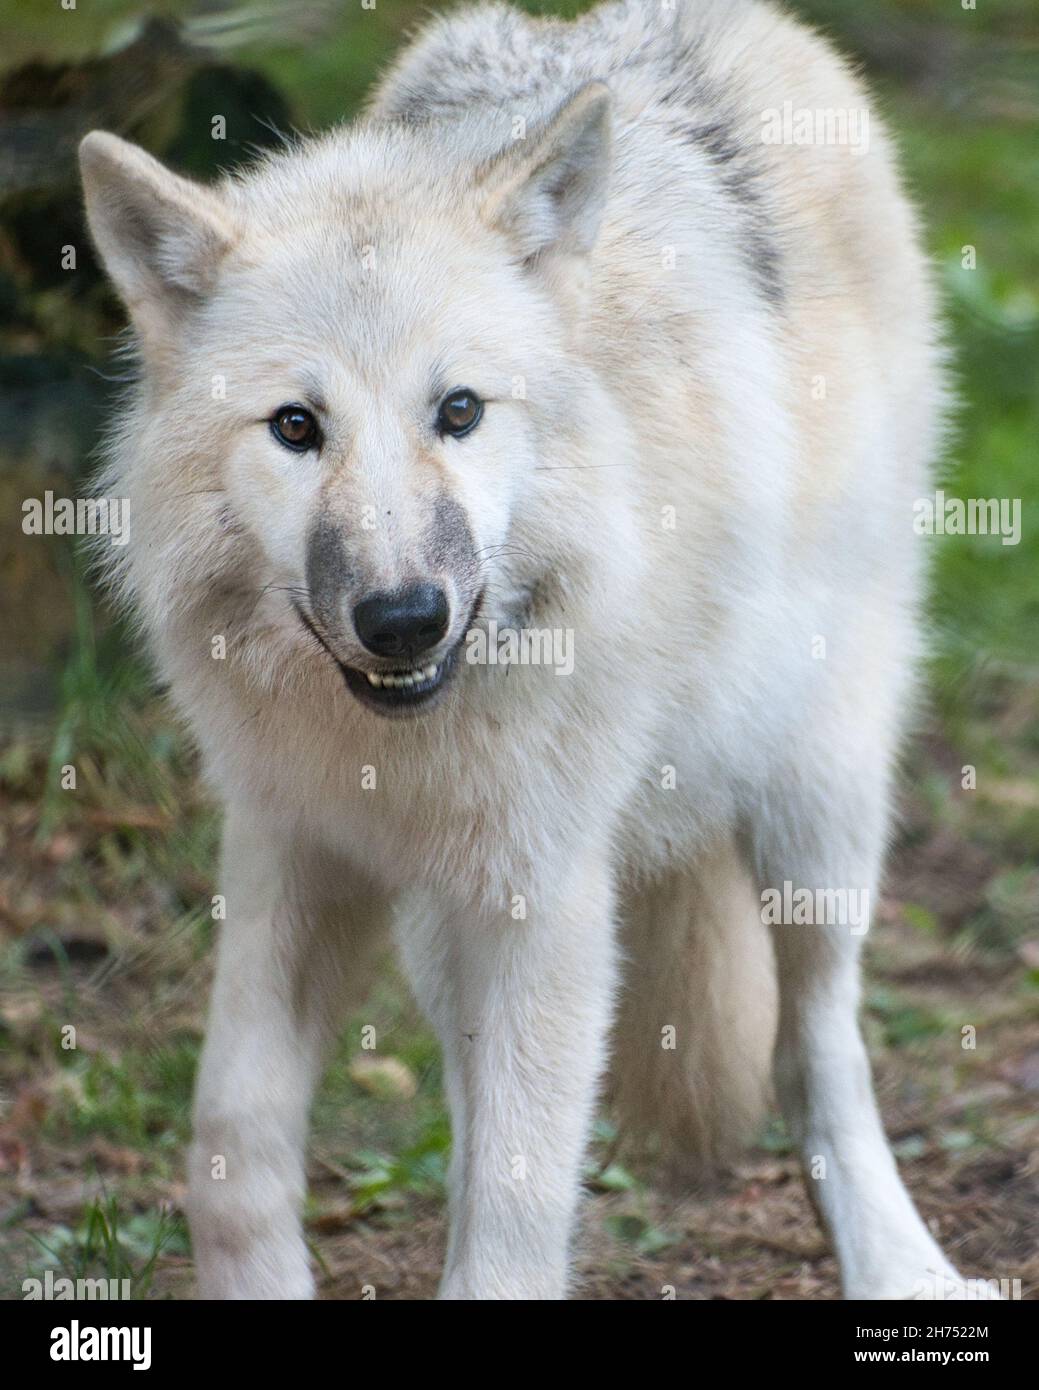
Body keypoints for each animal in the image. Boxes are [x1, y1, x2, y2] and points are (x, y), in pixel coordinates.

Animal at [79, 0, 982, 1299]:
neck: (400, 740)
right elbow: (233, 1137)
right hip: (442, 927)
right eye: (296, 427)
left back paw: (901, 1262)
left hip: (815, 797)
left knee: (817, 1044)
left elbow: (516, 1211)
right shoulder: (293, 846)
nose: (404, 617)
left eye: (459, 411)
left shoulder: (543, 894)